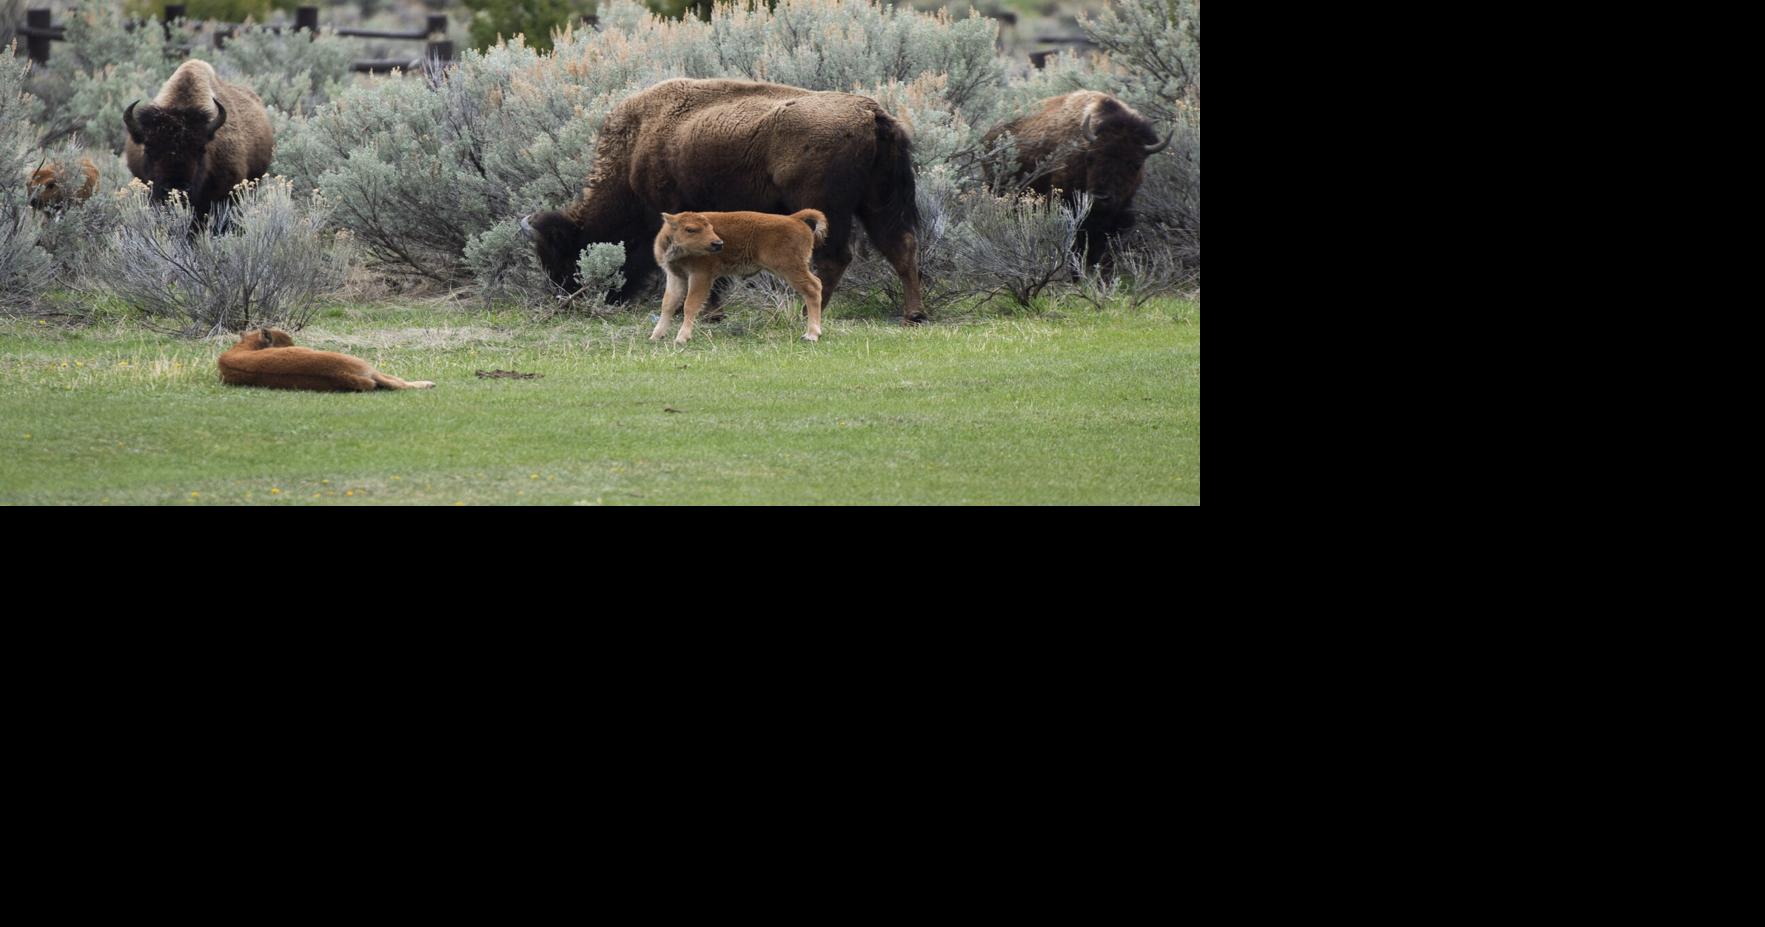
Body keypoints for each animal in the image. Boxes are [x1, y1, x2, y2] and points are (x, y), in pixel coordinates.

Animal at [522, 78, 926, 324]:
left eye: (566, 253)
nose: (567, 297)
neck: (635, 149)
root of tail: (872, 114)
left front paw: (705, 313)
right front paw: (712, 313)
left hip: (827, 207)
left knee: (834, 259)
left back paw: (806, 314)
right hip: (877, 204)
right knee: (901, 247)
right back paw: (914, 315)